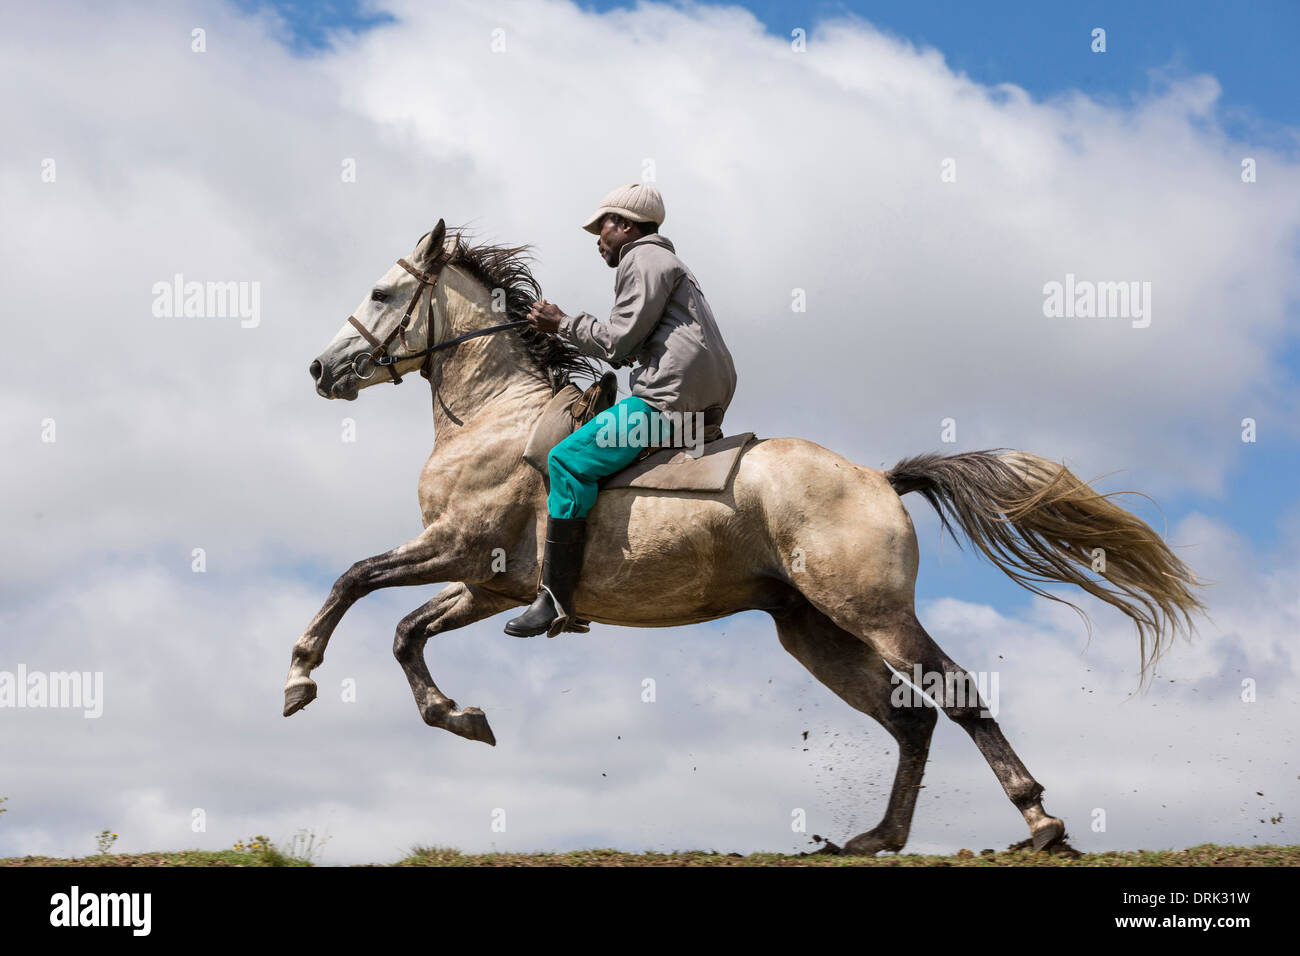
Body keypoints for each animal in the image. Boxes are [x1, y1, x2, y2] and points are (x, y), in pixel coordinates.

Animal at [288, 219, 1205, 855]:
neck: (493, 414)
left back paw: (1039, 819)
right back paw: (876, 839)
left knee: (954, 692)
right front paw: (459, 715)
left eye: (381, 294)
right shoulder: (491, 585)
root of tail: (880, 477)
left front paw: (300, 674)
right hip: (814, 630)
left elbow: (353, 580)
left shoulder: (456, 549)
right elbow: (406, 633)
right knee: (910, 719)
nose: (320, 372)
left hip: (872, 613)